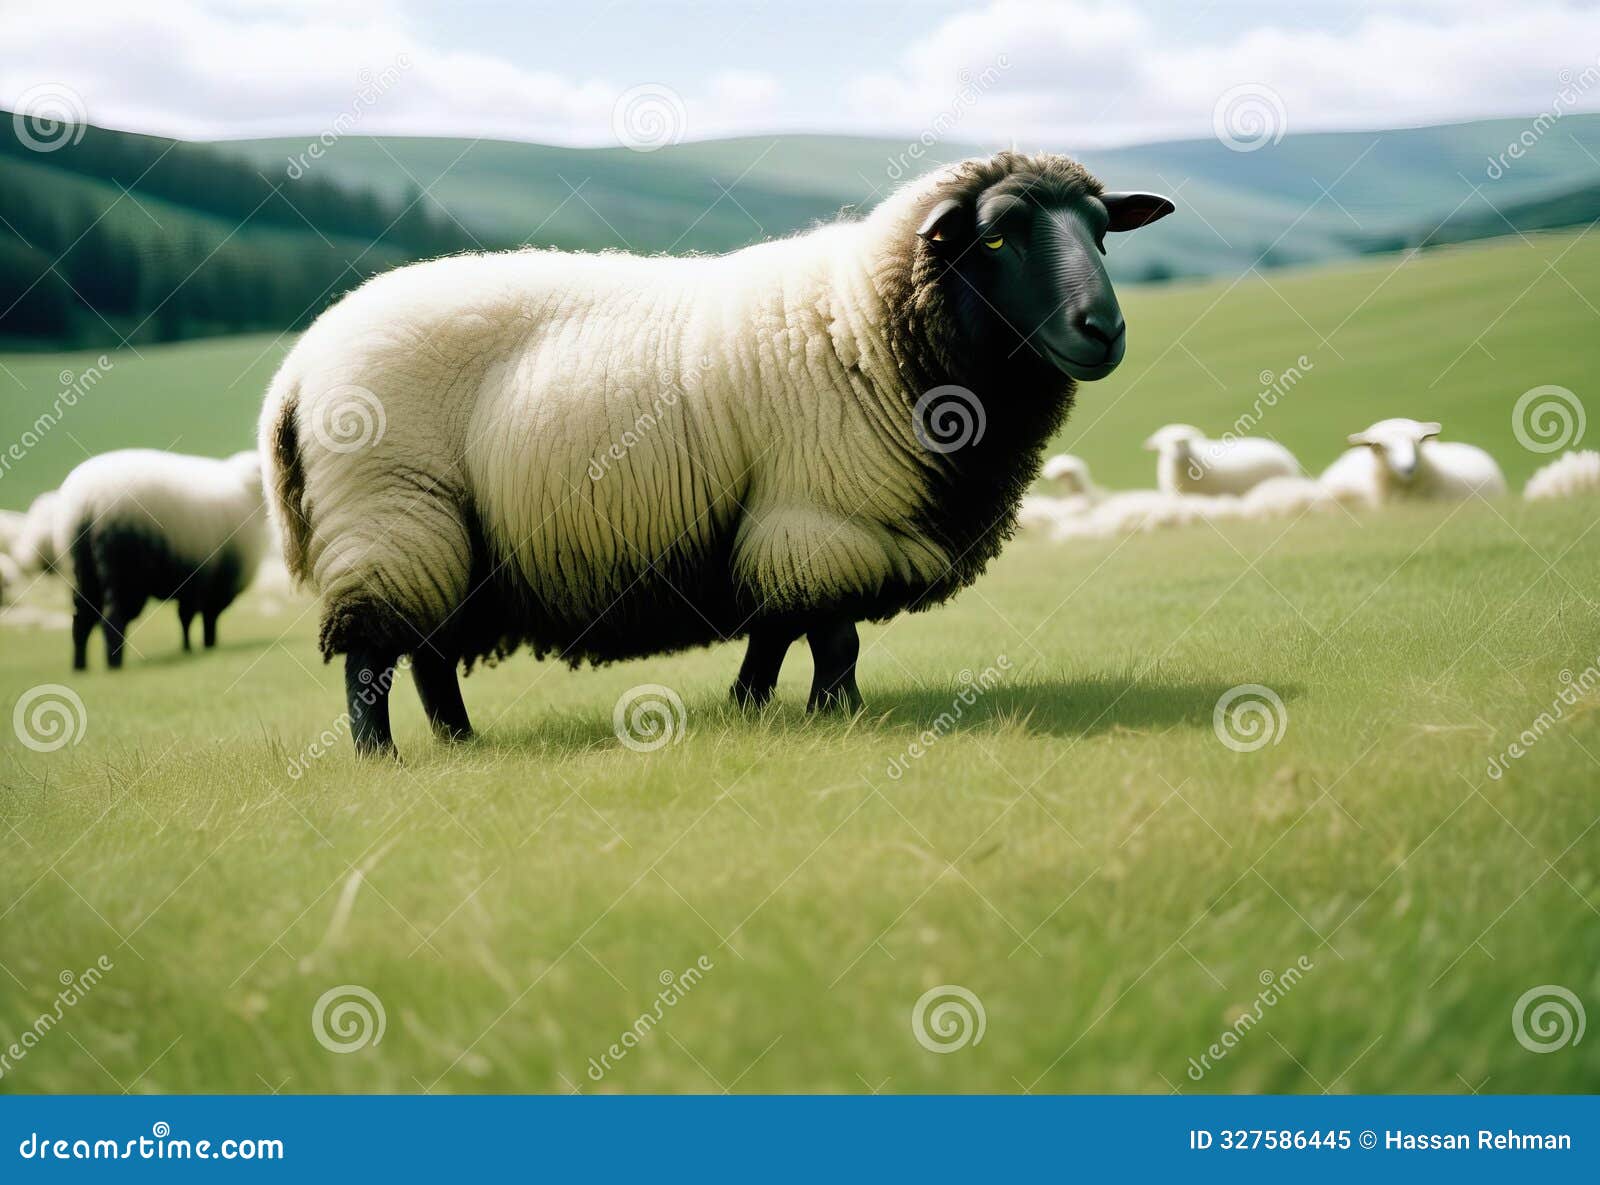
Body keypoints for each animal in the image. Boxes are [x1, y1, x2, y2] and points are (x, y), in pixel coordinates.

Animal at [52, 449, 267, 670]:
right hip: (123, 571)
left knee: (81, 620)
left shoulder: (198, 582)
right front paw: (200, 646)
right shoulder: (206, 582)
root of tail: (87, 503)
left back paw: (80, 666)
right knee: (112, 618)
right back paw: (114, 664)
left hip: (81, 569)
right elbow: (196, 618)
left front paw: (193, 647)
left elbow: (190, 618)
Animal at [259, 151, 1177, 755]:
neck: (866, 324)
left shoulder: (774, 515)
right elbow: (832, 639)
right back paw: (383, 757)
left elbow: (775, 629)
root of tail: (295, 371)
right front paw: (839, 718)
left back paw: (460, 741)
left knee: (428, 653)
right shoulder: (820, 514)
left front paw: (750, 706)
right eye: (995, 239)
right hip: (394, 512)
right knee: (375, 659)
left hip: (443, 532)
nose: (1105, 329)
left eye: (1103, 233)